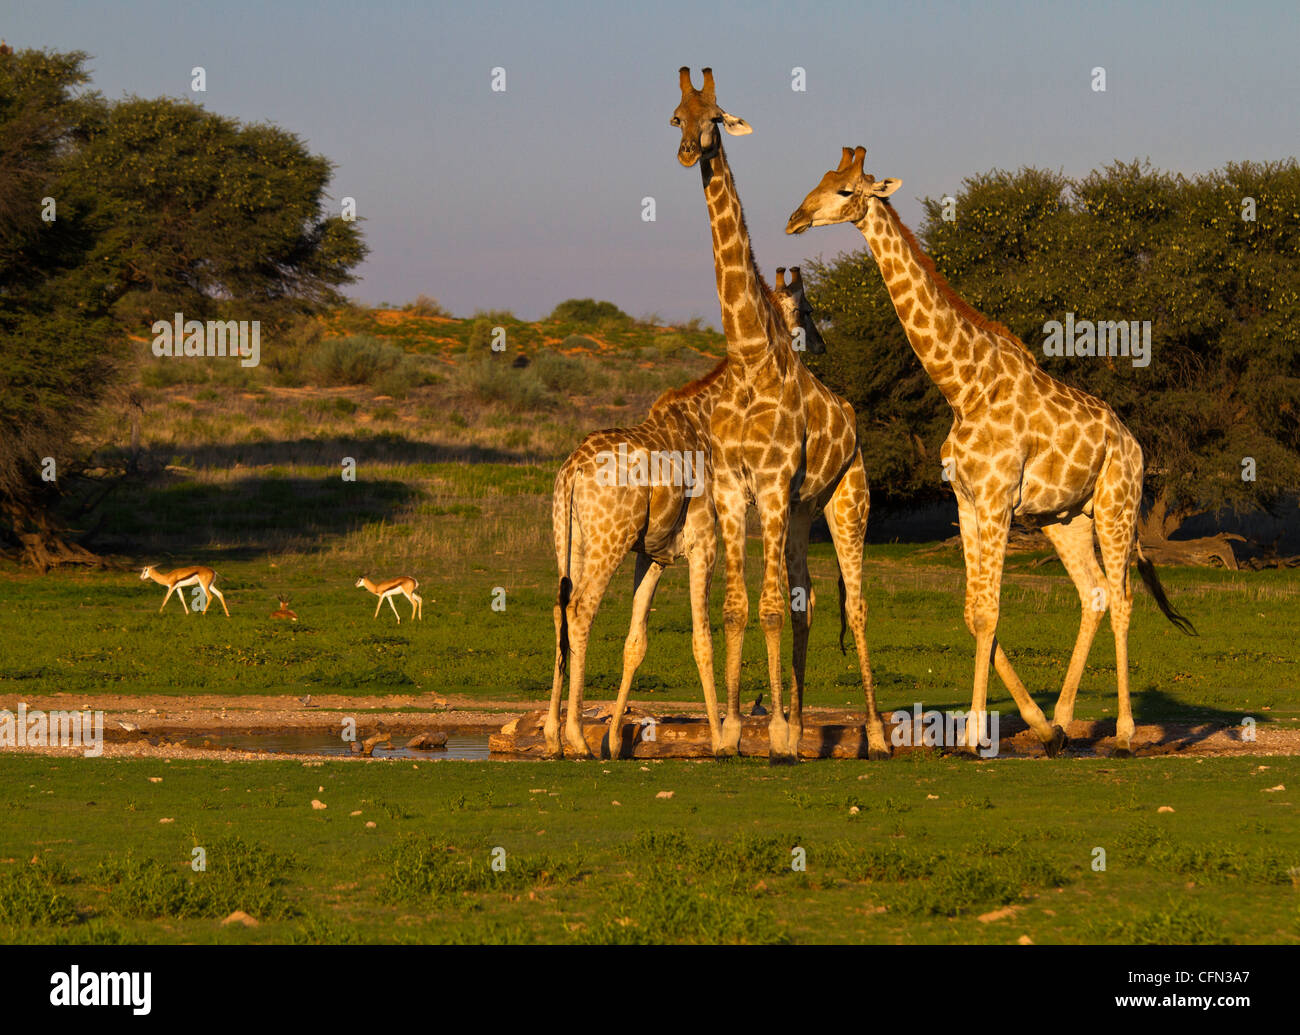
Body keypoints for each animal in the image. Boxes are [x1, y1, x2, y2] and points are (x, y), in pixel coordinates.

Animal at [546, 269, 830, 760]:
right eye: (807, 309)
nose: (821, 345)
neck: (704, 417)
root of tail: (572, 471)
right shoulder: (704, 540)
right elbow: (702, 639)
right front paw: (719, 738)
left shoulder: (653, 555)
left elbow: (635, 642)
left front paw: (615, 741)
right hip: (607, 541)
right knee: (581, 609)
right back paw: (576, 738)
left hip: (571, 540)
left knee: (559, 607)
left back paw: (551, 735)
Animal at [672, 69, 889, 763]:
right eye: (676, 115)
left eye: (716, 116)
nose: (687, 152)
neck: (747, 359)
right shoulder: (734, 490)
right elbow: (739, 609)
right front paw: (733, 734)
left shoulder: (768, 486)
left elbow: (765, 607)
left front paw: (772, 741)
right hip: (799, 513)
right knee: (806, 602)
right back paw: (794, 722)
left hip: (847, 501)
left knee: (855, 606)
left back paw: (876, 734)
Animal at [786, 146, 1195, 757]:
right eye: (818, 179)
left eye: (843, 191)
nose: (795, 218)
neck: (963, 386)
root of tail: (1133, 441)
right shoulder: (968, 500)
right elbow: (974, 611)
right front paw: (1023, 726)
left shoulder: (999, 498)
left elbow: (990, 610)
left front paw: (977, 734)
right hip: (1064, 518)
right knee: (1095, 594)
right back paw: (1062, 724)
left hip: (1118, 505)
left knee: (1122, 599)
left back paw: (1123, 734)